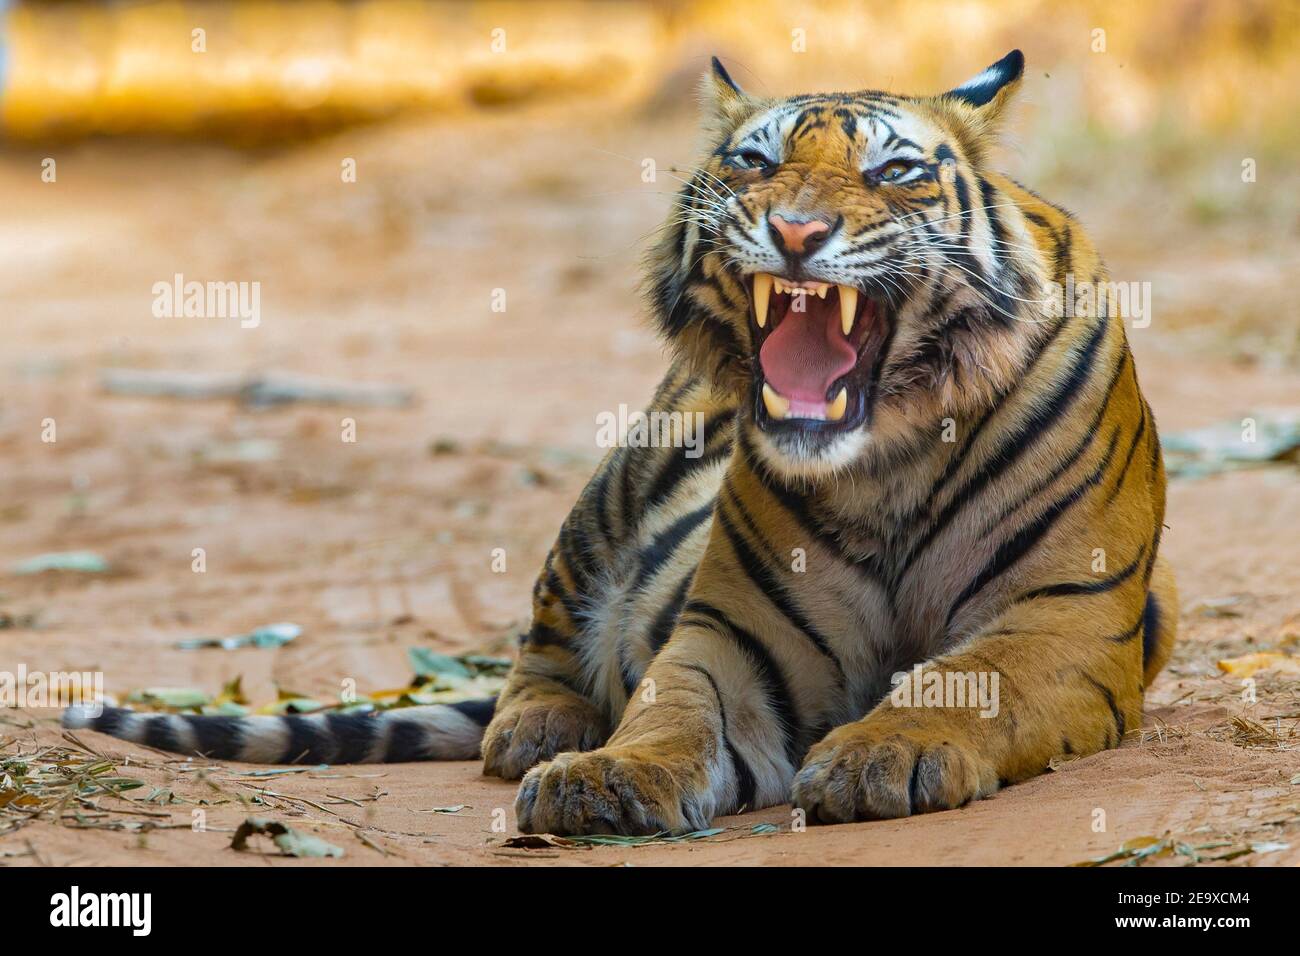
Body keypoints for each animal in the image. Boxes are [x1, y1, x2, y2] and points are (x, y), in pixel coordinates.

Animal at [65, 50, 1177, 836]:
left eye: (896, 171)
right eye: (754, 161)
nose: (797, 232)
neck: (885, 456)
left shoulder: (1060, 620)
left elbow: (961, 681)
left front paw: (879, 754)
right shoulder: (735, 631)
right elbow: (673, 709)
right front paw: (608, 775)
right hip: (613, 484)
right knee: (548, 641)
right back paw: (540, 728)